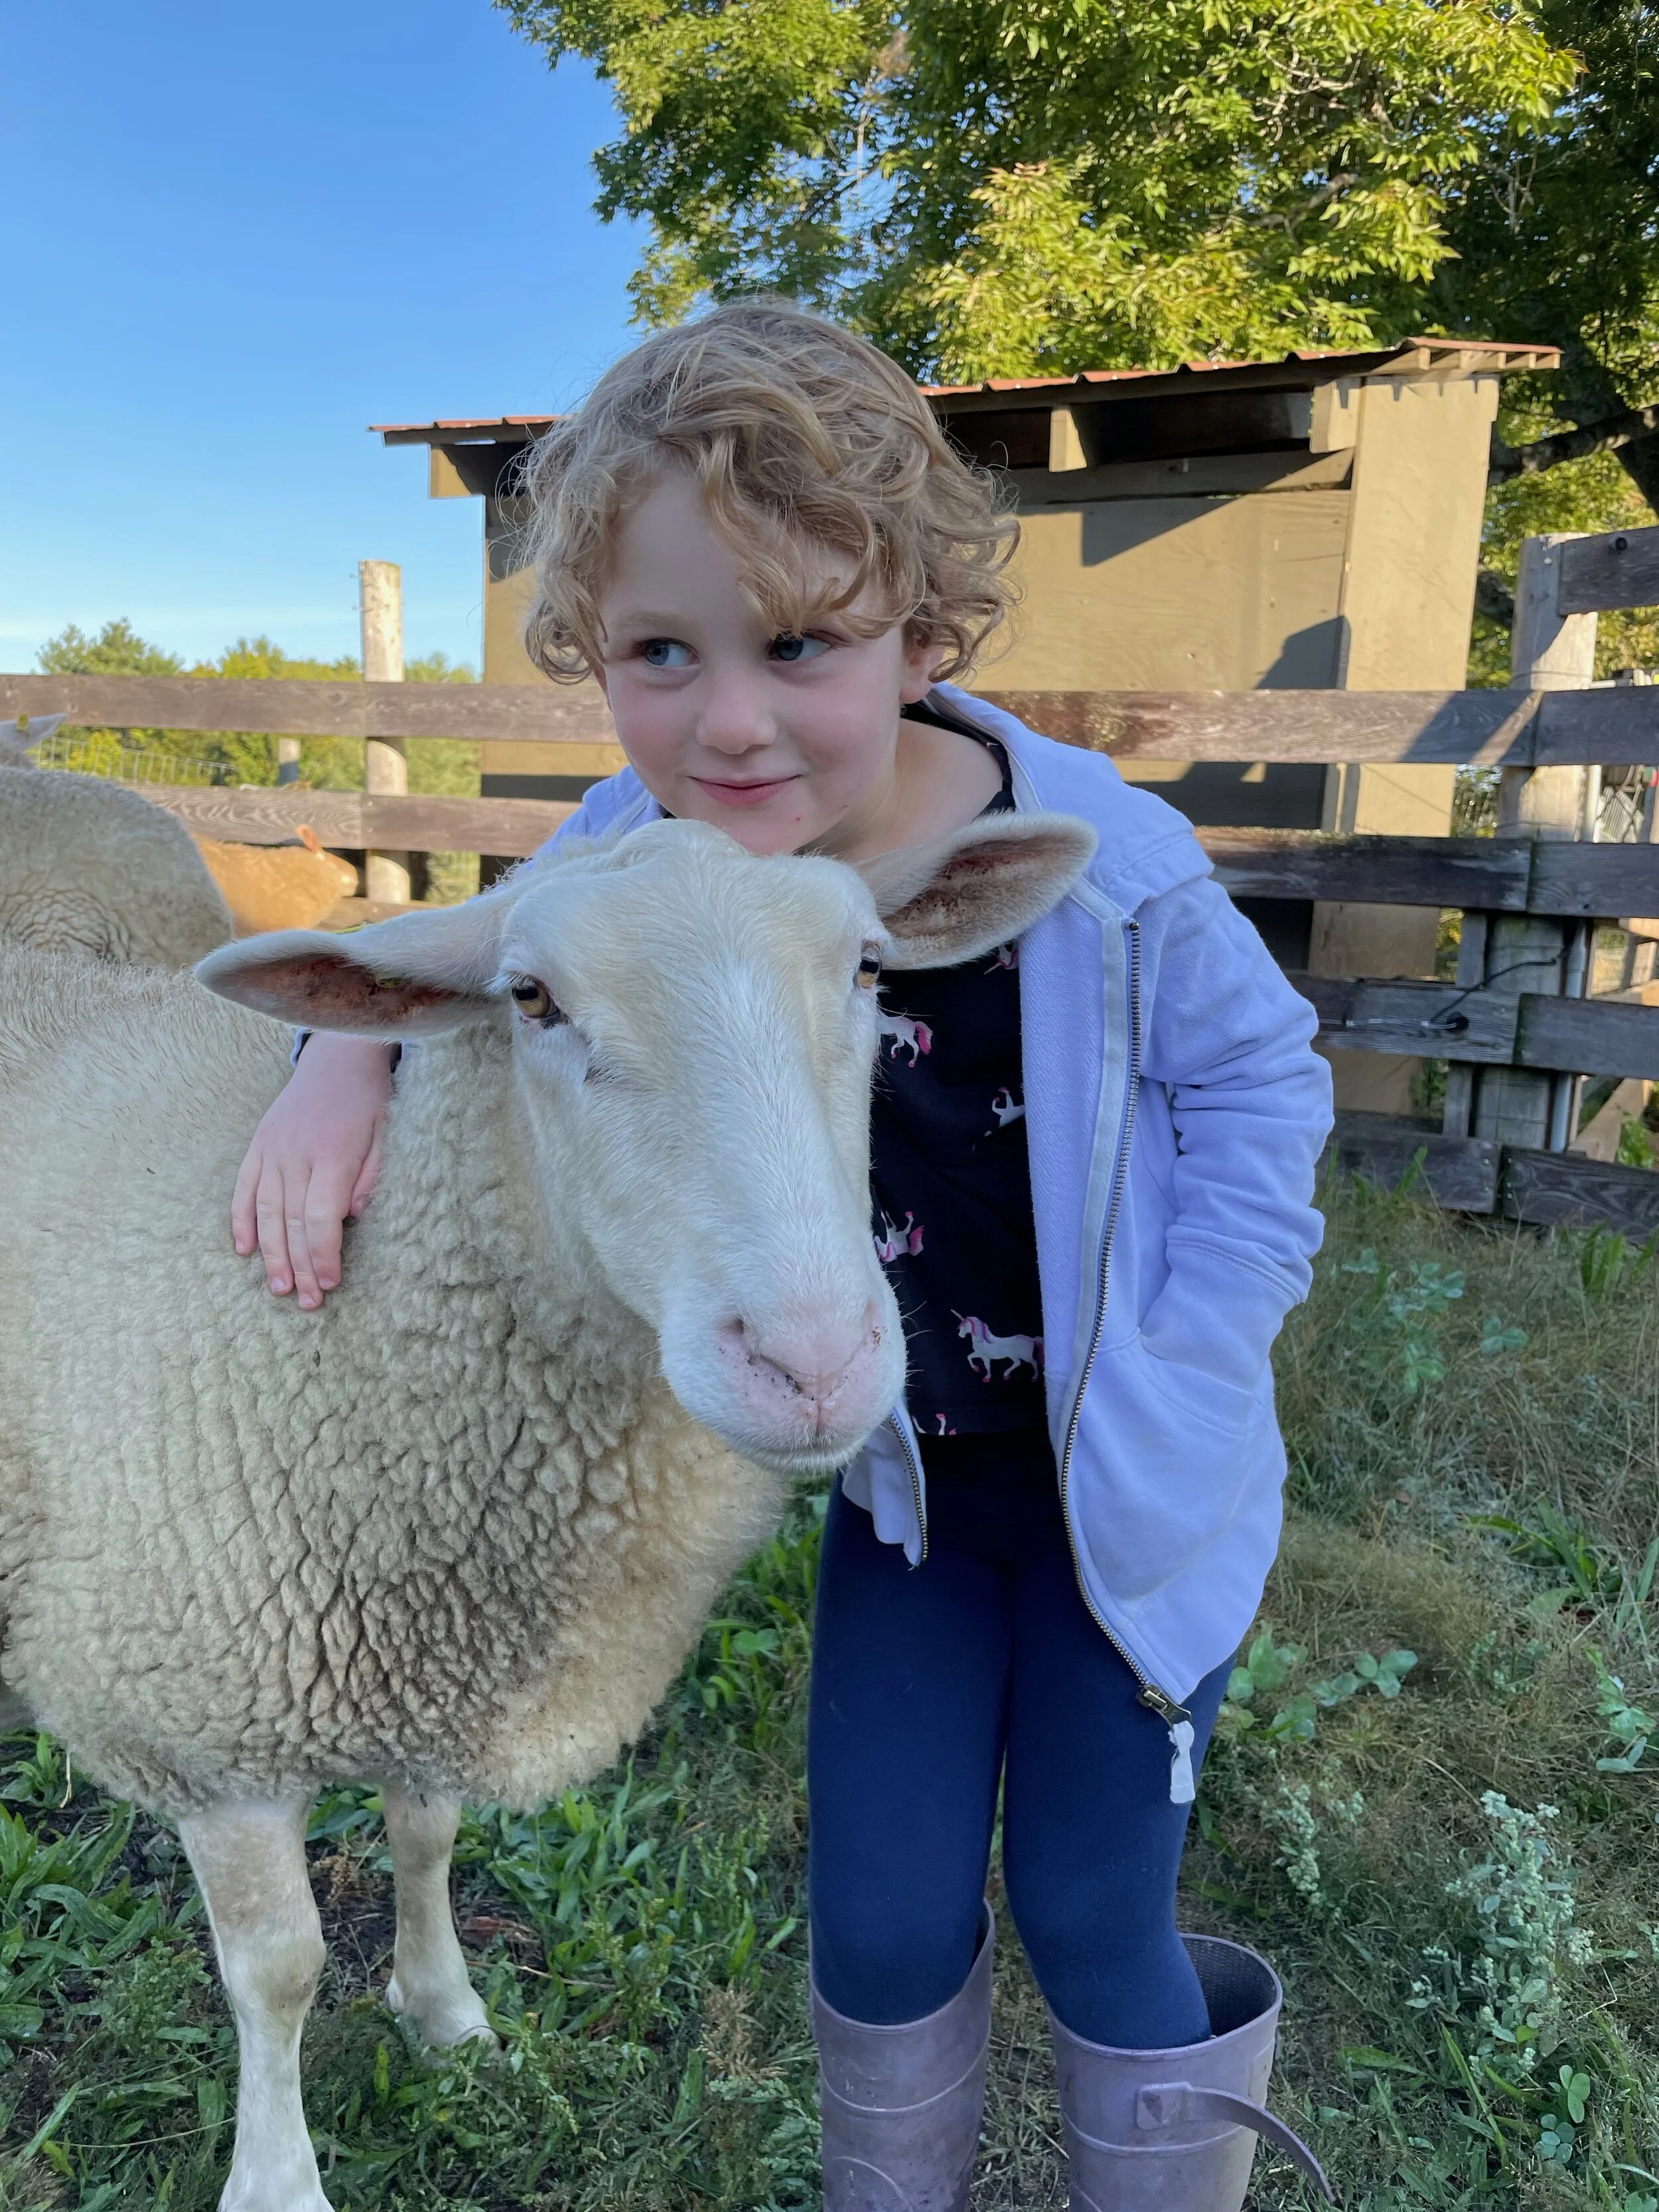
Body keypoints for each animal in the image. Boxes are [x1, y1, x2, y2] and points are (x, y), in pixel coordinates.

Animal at [0, 809, 1093, 2212]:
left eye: (866, 967)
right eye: (532, 998)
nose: (812, 1363)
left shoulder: (434, 1656)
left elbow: (426, 1836)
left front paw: (445, 2015)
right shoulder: (208, 1727)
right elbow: (280, 1968)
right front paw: (278, 2178)